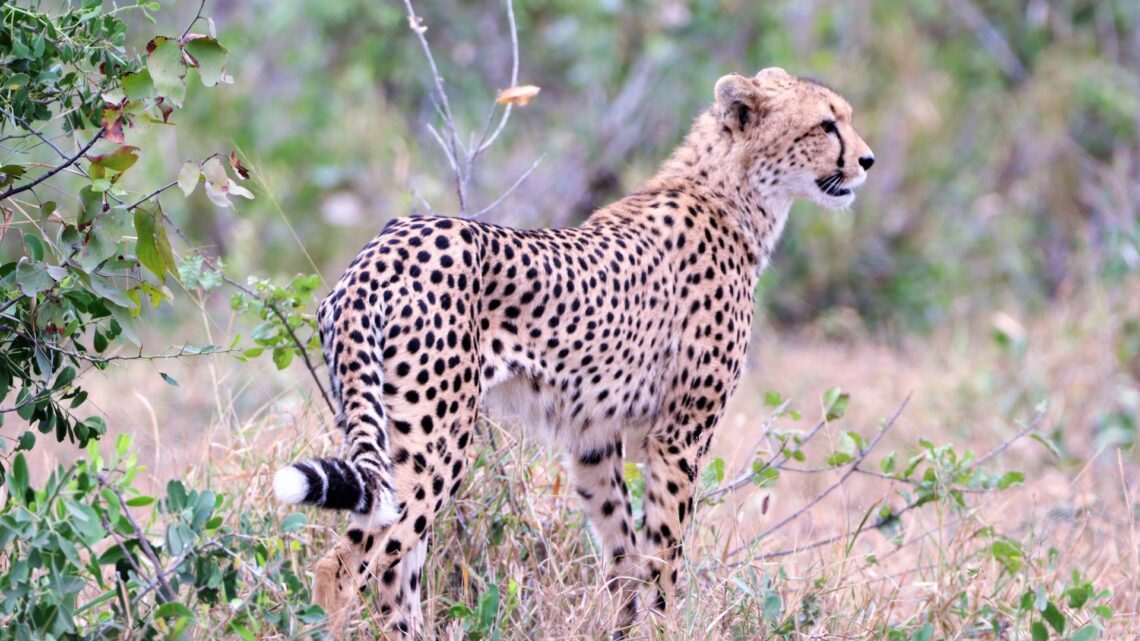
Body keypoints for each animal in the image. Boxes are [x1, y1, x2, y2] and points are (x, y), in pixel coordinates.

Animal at [273, 67, 874, 638]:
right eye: (826, 125)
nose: (866, 160)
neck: (731, 194)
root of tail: (377, 251)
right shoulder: (680, 434)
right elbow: (665, 560)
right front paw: (664, 629)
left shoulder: (593, 439)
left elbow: (624, 557)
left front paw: (624, 629)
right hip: (434, 441)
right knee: (344, 567)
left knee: (396, 573)